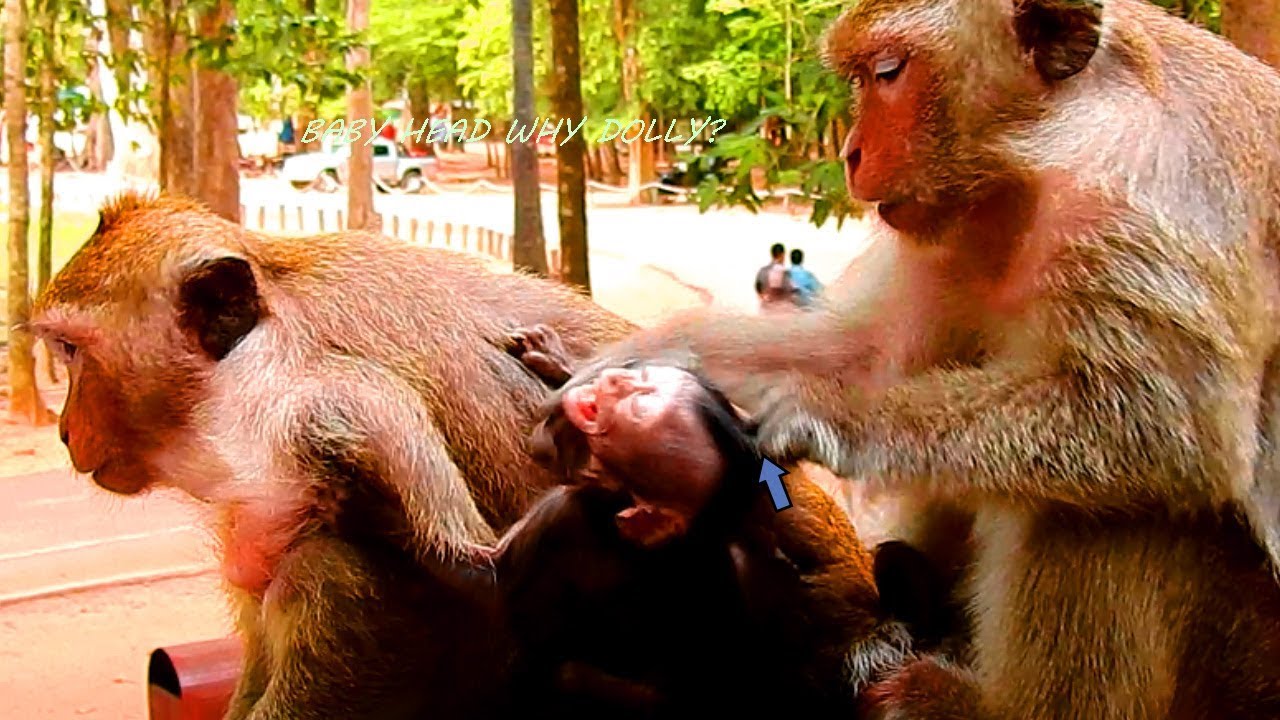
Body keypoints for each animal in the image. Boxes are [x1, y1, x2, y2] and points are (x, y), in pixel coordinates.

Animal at [27, 191, 636, 719]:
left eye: (72, 350)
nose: (64, 430)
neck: (269, 366)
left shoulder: (351, 407)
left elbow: (476, 589)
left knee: (325, 563)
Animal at [539, 1, 1280, 718]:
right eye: (862, 78)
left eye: (889, 72)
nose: (850, 152)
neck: (1040, 157)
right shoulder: (950, 227)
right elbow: (872, 354)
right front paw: (633, 354)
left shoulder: (1146, 201)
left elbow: (1172, 427)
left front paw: (822, 414)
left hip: (1240, 660)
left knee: (1104, 502)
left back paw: (978, 702)